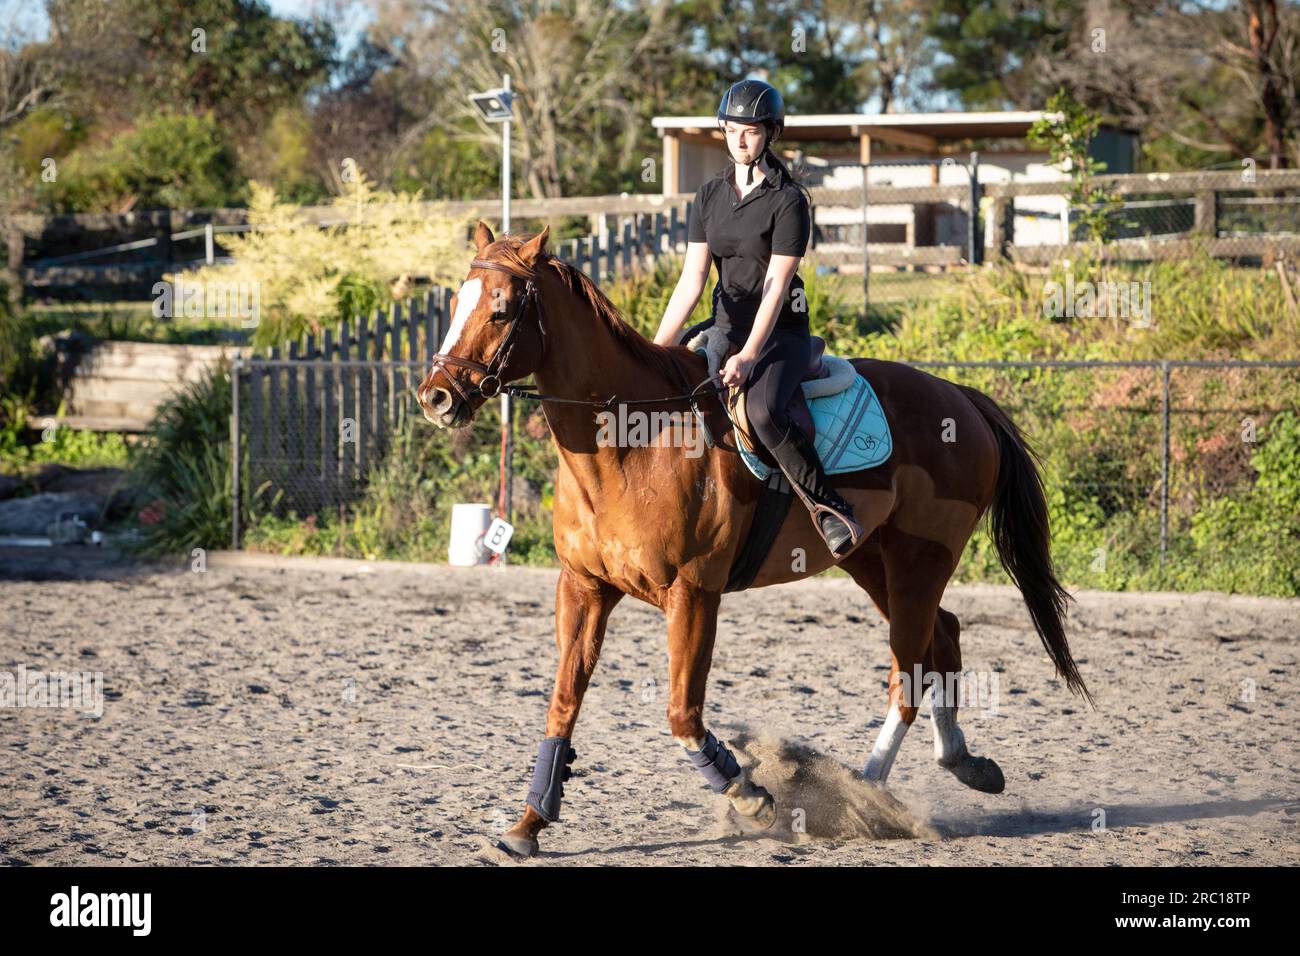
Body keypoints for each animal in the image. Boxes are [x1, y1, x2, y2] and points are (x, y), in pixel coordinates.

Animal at [416, 221, 1091, 858]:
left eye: (502, 308)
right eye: (456, 302)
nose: (437, 397)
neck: (631, 445)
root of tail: (964, 399)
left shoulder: (693, 594)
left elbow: (682, 713)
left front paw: (747, 793)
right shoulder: (583, 587)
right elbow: (562, 702)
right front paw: (528, 823)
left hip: (920, 560)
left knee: (908, 673)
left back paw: (865, 795)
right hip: (873, 560)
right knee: (941, 639)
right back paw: (962, 765)